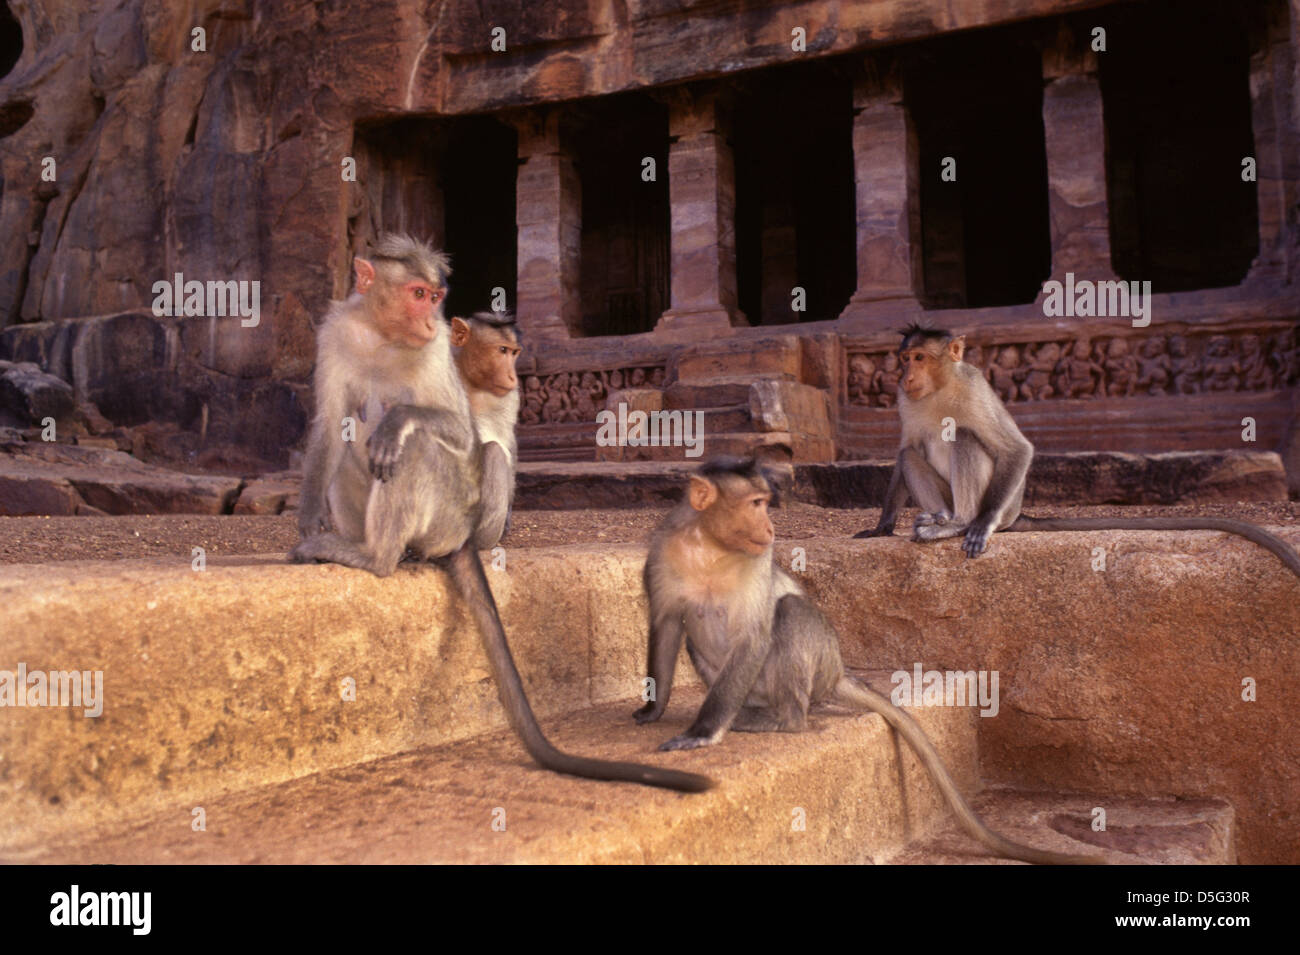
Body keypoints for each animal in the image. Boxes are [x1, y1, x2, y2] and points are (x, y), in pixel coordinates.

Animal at [291, 233, 712, 794]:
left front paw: (399, 422)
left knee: (430, 449)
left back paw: (377, 556)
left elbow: (453, 431)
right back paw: (357, 542)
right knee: (351, 432)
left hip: (449, 517)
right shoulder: (338, 332)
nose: (430, 318)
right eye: (418, 294)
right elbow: (328, 420)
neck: (383, 334)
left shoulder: (434, 353)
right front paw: (307, 516)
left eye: (433, 297)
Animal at [636, 454, 1105, 865]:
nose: (769, 526)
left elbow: (754, 634)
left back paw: (783, 719)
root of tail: (840, 670)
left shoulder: (757, 561)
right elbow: (667, 624)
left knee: (790, 611)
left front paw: (704, 731)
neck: (709, 546)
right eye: (755, 504)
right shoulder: (662, 552)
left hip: (818, 664)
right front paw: (651, 710)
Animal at [852, 324, 1300, 577]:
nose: (906, 374)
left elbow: (1017, 449)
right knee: (911, 456)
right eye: (905, 358)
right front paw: (882, 526)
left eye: (920, 357)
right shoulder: (906, 401)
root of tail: (1019, 515)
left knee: (965, 436)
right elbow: (906, 448)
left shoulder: (973, 389)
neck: (940, 389)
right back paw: (939, 519)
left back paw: (959, 522)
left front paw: (980, 525)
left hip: (1001, 503)